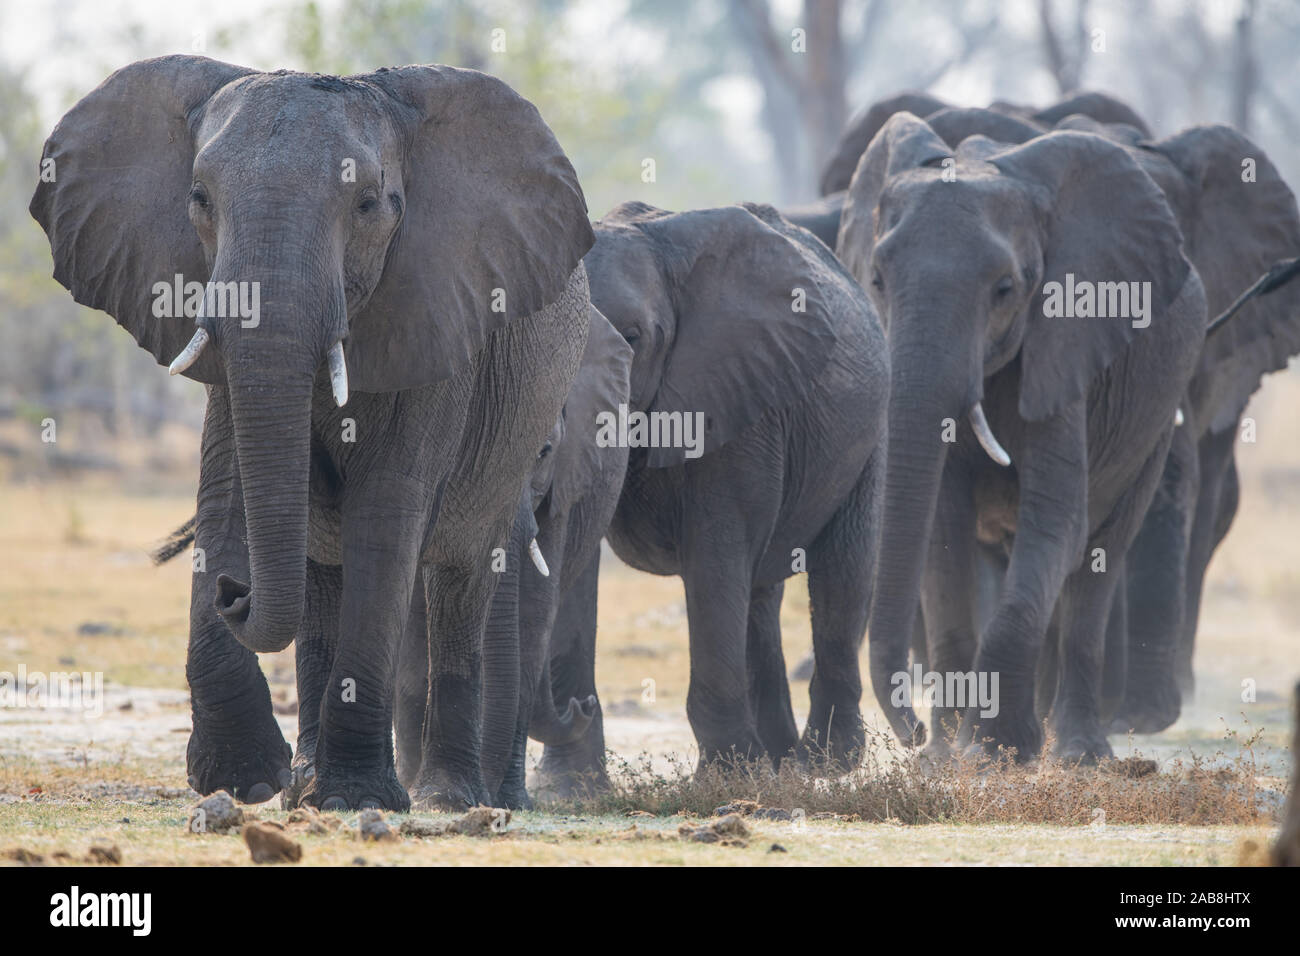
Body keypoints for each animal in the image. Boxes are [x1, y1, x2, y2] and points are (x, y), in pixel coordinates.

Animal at [30, 55, 594, 810]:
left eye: (370, 205)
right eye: (198, 199)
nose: (233, 592)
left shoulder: (440, 311)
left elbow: (386, 510)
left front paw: (356, 799)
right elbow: (225, 493)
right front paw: (245, 780)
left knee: (460, 579)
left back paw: (447, 797)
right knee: (324, 576)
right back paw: (304, 784)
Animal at [393, 303, 633, 808]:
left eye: (543, 451)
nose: (584, 704)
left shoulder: (566, 479)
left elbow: (534, 612)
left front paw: (504, 800)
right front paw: (417, 789)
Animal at [584, 200, 890, 767]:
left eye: (633, 339)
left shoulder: (739, 398)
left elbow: (715, 550)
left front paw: (729, 774)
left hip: (867, 433)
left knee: (842, 567)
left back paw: (825, 762)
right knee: (760, 591)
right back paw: (782, 760)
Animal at [838, 111, 1208, 763]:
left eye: (1006, 290)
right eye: (876, 280)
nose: (908, 734)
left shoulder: (1065, 347)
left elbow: (1058, 519)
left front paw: (994, 754)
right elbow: (942, 529)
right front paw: (943, 760)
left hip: (1160, 416)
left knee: (1097, 557)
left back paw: (1076, 752)